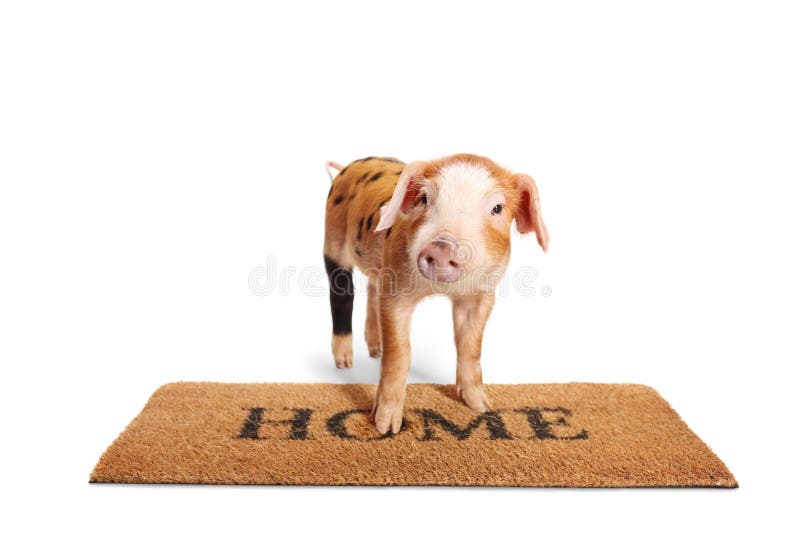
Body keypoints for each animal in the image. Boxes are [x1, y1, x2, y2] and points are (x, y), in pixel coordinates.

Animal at [323, 154, 549, 434]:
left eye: (497, 208)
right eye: (424, 198)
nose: (442, 246)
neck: (442, 289)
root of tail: (348, 168)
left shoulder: (482, 295)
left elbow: (470, 346)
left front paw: (482, 406)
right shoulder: (396, 291)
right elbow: (400, 353)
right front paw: (386, 427)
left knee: (372, 289)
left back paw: (375, 351)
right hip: (333, 238)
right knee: (341, 296)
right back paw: (344, 363)